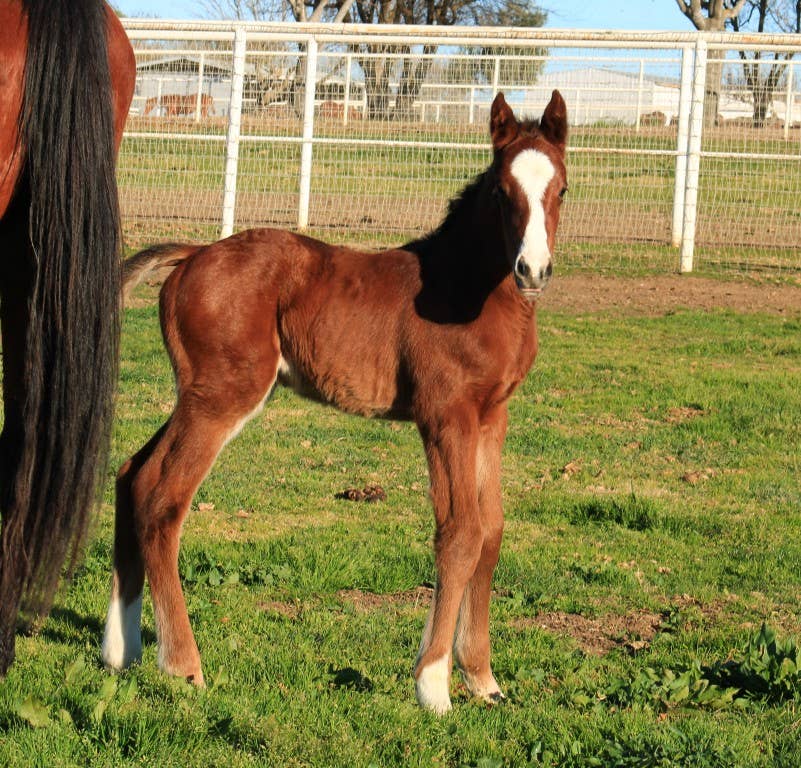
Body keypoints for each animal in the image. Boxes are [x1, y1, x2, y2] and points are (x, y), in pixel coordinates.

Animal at [104, 90, 568, 713]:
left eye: (561, 188)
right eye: (501, 191)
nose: (532, 270)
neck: (467, 290)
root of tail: (193, 252)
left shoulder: (491, 417)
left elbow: (491, 530)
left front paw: (483, 679)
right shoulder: (444, 416)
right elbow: (460, 532)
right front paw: (433, 684)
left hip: (195, 391)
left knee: (131, 474)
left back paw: (120, 648)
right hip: (222, 396)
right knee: (161, 497)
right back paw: (183, 665)